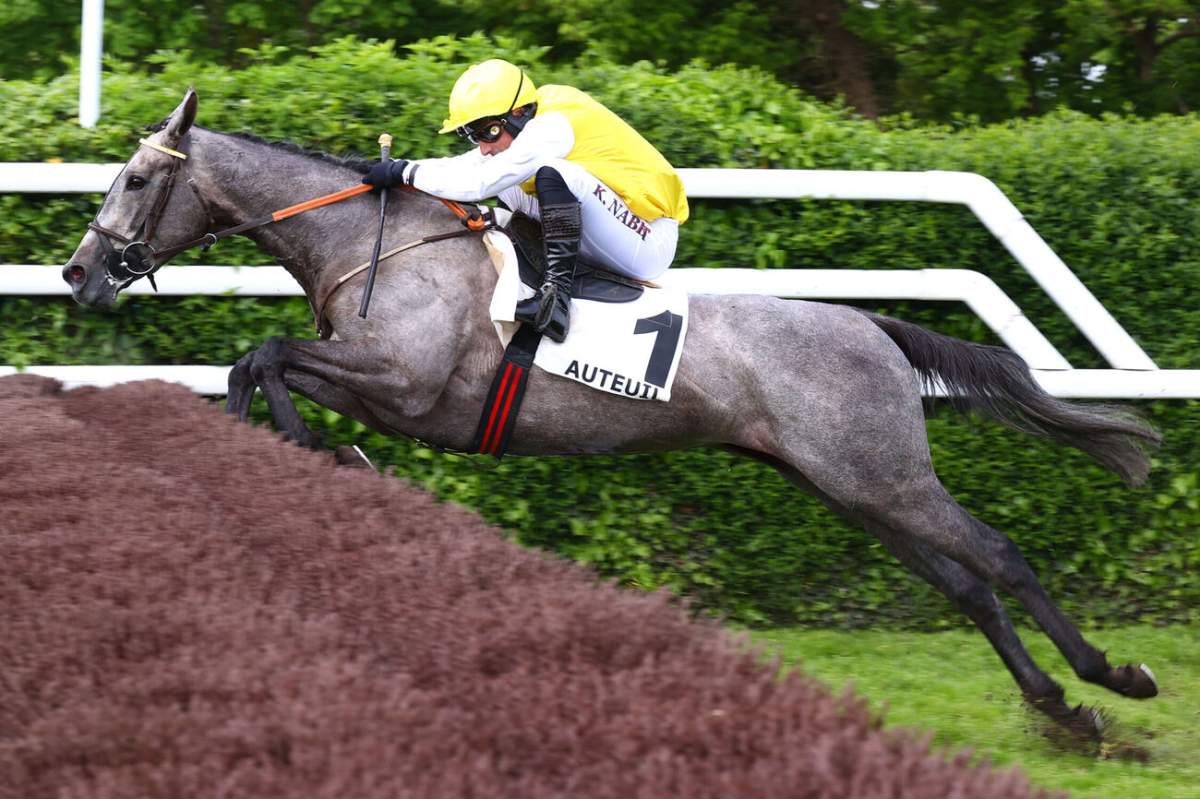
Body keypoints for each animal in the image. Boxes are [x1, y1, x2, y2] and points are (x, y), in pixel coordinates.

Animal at [63, 89, 1161, 739]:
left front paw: (314, 458)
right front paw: (299, 460)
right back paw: (1059, 705)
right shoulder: (378, 381)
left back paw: (1110, 675)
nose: (79, 272)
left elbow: (265, 356)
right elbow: (258, 366)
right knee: (966, 584)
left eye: (137, 178)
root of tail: (872, 326)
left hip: (882, 474)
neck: (376, 241)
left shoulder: (404, 380)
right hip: (848, 485)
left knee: (1000, 555)